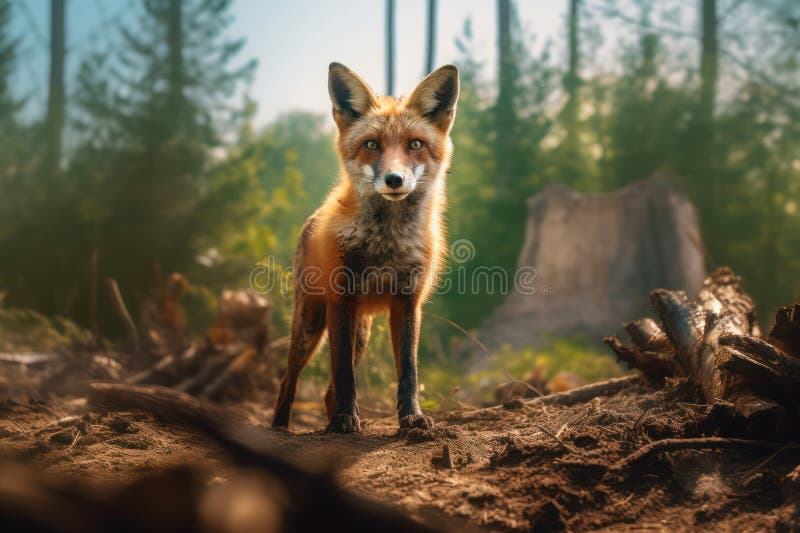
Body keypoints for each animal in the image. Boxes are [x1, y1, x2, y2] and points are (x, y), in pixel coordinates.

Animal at [271, 62, 459, 433]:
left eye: (415, 144)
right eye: (372, 144)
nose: (394, 180)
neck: (387, 243)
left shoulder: (408, 303)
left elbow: (409, 371)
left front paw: (411, 418)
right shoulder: (341, 300)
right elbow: (345, 374)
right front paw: (345, 418)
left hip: (360, 332)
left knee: (327, 390)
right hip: (311, 325)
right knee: (289, 380)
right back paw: (280, 426)